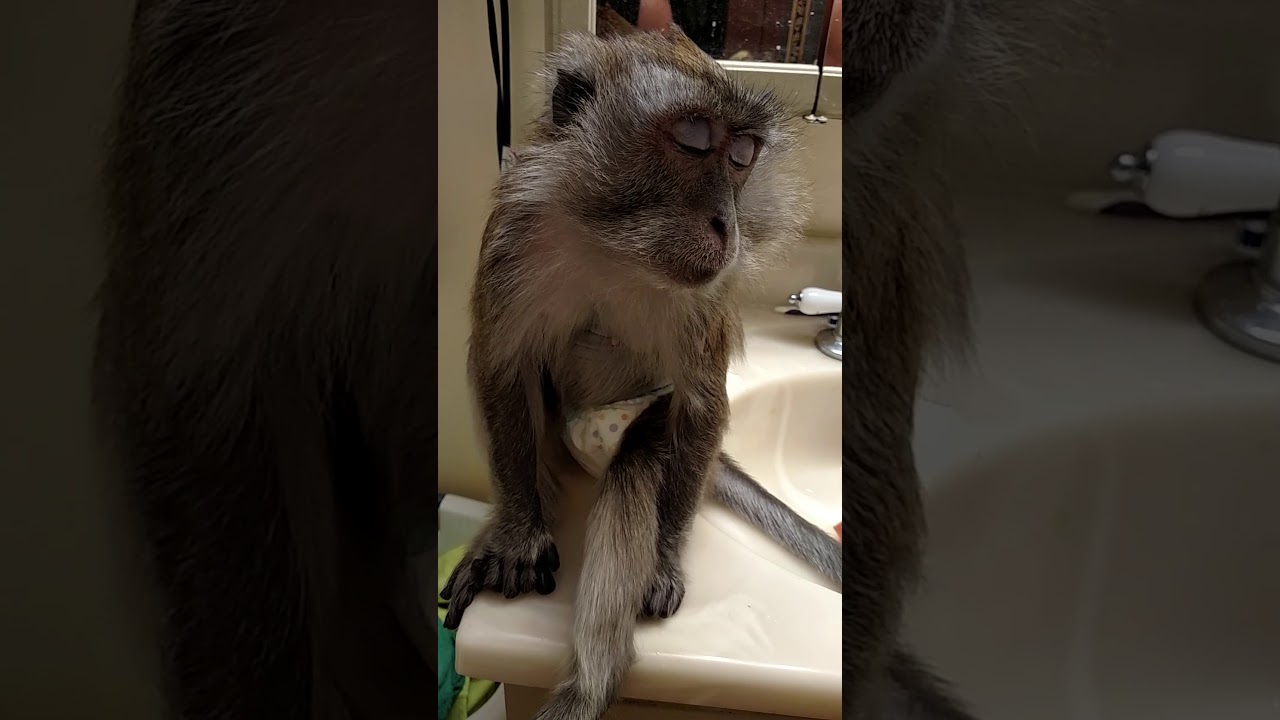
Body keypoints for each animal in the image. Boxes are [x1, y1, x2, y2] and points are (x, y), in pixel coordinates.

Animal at [437, 21, 849, 720]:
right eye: (695, 138)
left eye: (742, 154)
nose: (727, 224)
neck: (616, 245)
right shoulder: (513, 235)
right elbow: (500, 363)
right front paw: (516, 535)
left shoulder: (704, 298)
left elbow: (703, 407)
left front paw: (660, 563)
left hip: (647, 426)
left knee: (635, 467)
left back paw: (587, 685)